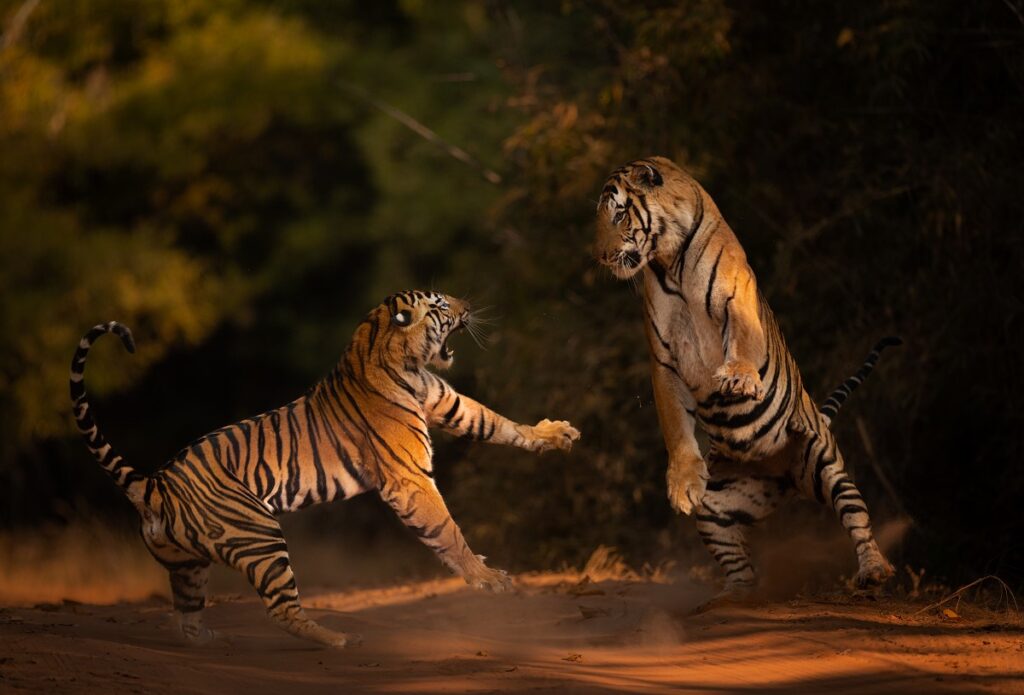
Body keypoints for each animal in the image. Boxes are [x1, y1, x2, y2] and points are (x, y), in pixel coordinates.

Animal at [70, 291, 581, 647]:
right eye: (440, 305)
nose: (468, 305)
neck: (407, 362)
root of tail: (153, 484)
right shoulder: (409, 478)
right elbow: (447, 530)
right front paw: (488, 580)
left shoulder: (450, 404)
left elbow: (498, 423)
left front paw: (556, 434)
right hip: (260, 536)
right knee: (281, 610)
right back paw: (338, 639)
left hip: (189, 567)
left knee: (188, 618)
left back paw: (215, 640)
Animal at [594, 156, 897, 597]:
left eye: (619, 214)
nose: (600, 256)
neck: (670, 263)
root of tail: (785, 479)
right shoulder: (663, 358)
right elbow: (675, 427)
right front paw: (682, 484)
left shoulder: (737, 302)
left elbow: (740, 341)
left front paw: (738, 378)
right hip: (715, 512)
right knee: (740, 566)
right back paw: (733, 597)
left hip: (824, 462)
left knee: (856, 515)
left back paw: (874, 570)